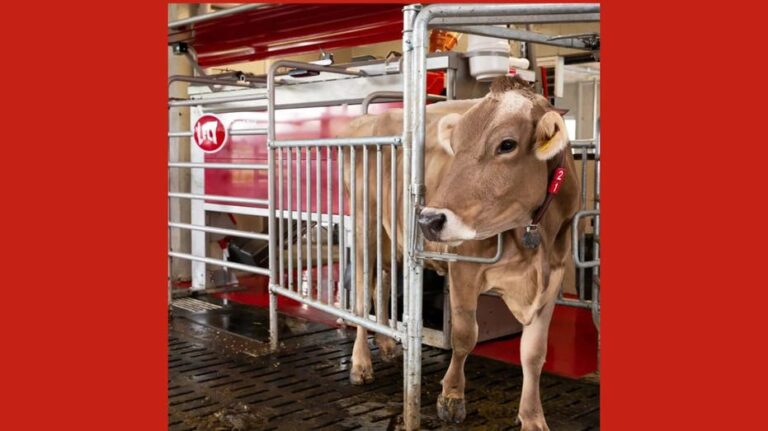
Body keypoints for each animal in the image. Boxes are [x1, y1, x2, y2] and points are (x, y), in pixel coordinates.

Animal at [341, 75, 580, 431]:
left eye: (506, 144)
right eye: (455, 146)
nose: (428, 219)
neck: (534, 239)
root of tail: (365, 121)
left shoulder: (554, 274)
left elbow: (534, 352)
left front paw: (532, 416)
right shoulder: (465, 268)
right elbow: (466, 335)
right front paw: (451, 397)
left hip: (389, 237)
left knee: (380, 285)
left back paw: (386, 345)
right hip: (363, 224)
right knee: (359, 297)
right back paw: (360, 364)